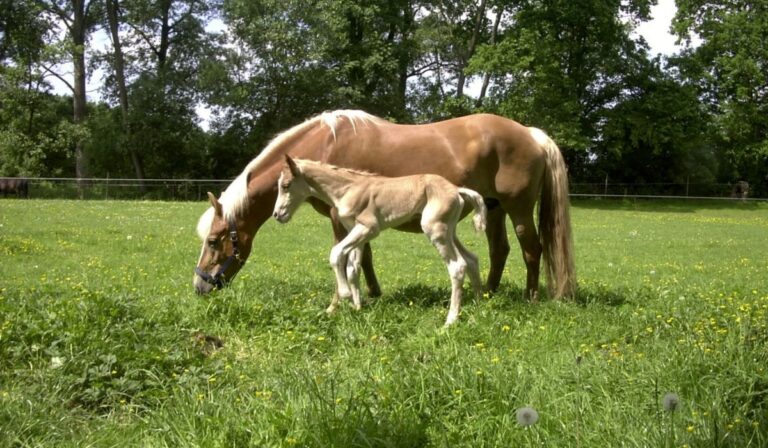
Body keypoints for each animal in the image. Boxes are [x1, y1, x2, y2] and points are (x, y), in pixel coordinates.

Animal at [194, 110, 575, 302]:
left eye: (213, 242)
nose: (200, 287)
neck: (324, 145)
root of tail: (531, 133)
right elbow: (364, 257)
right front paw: (372, 294)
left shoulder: (339, 218)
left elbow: (346, 256)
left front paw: (343, 300)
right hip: (494, 209)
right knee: (499, 250)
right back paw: (491, 293)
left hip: (519, 209)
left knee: (531, 249)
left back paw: (530, 297)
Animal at [272, 156, 487, 326]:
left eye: (286, 185)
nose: (277, 215)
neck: (347, 189)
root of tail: (456, 189)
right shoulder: (356, 232)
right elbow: (353, 268)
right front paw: (357, 308)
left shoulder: (368, 228)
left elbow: (336, 253)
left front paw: (345, 294)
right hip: (449, 231)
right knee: (471, 259)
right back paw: (478, 305)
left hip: (435, 230)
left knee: (457, 266)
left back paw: (450, 320)